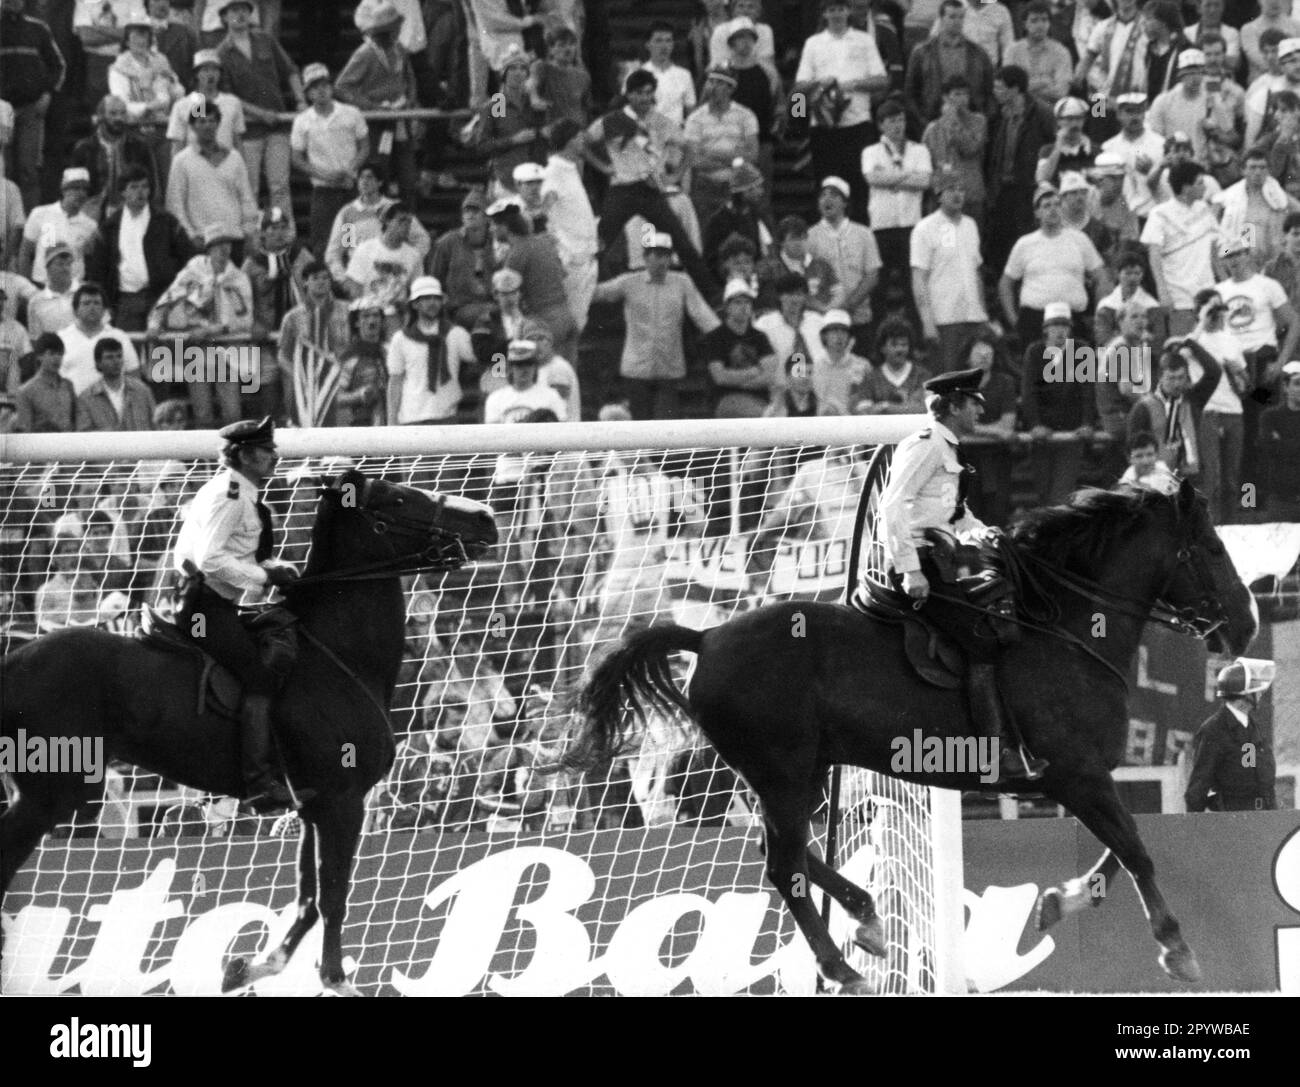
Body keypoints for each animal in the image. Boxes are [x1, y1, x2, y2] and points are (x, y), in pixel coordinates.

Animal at [1, 468, 496, 993]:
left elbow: (308, 900)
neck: (338, 656)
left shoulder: (313, 807)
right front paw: (335, 977)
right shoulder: (343, 803)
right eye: (397, 500)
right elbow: (333, 896)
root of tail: (14, 660)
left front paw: (251, 966)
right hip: (50, 795)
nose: (485, 517)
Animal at [572, 481, 1258, 993]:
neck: (1064, 631)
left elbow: (1126, 847)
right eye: (1213, 549)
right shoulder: (1076, 774)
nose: (1248, 625)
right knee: (783, 865)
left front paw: (1059, 902)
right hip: (784, 773)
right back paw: (842, 966)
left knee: (790, 855)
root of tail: (706, 636)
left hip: (798, 774)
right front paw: (1175, 948)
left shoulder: (1084, 778)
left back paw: (867, 918)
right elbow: (1137, 850)